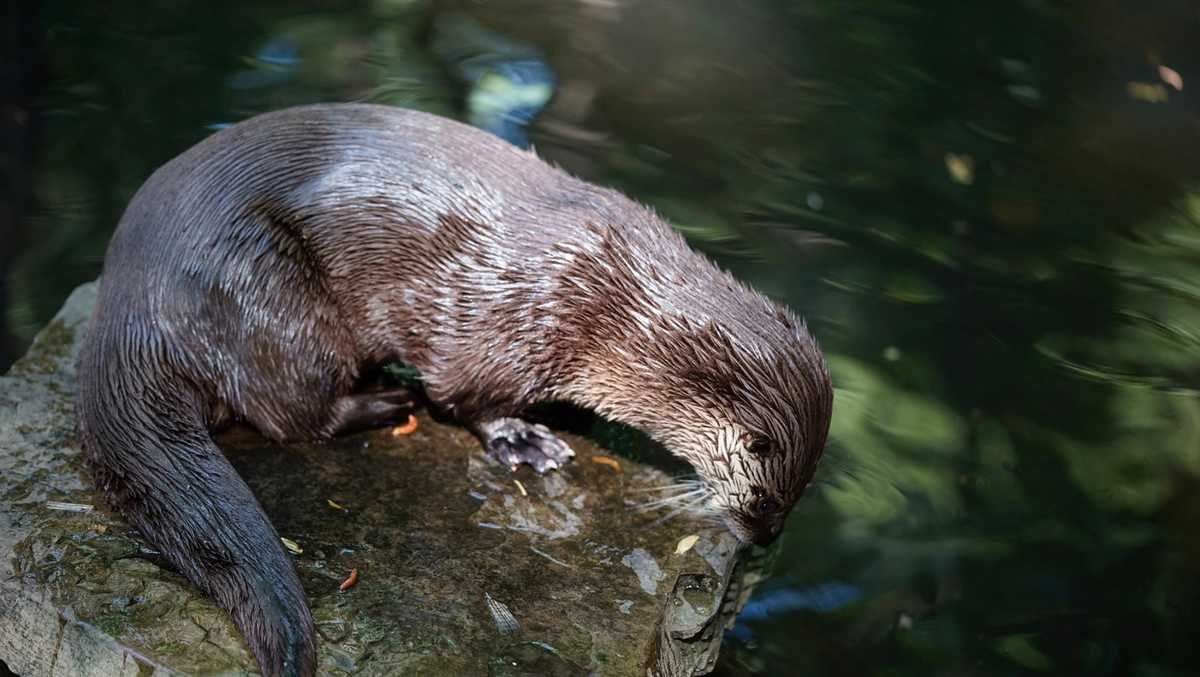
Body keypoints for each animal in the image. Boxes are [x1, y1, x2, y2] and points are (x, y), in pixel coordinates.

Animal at [76, 103, 832, 677]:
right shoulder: (505, 316)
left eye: (794, 500)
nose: (763, 535)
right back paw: (385, 399)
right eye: (766, 497)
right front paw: (524, 438)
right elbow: (465, 393)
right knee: (293, 412)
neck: (614, 309)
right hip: (269, 294)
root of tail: (129, 301)